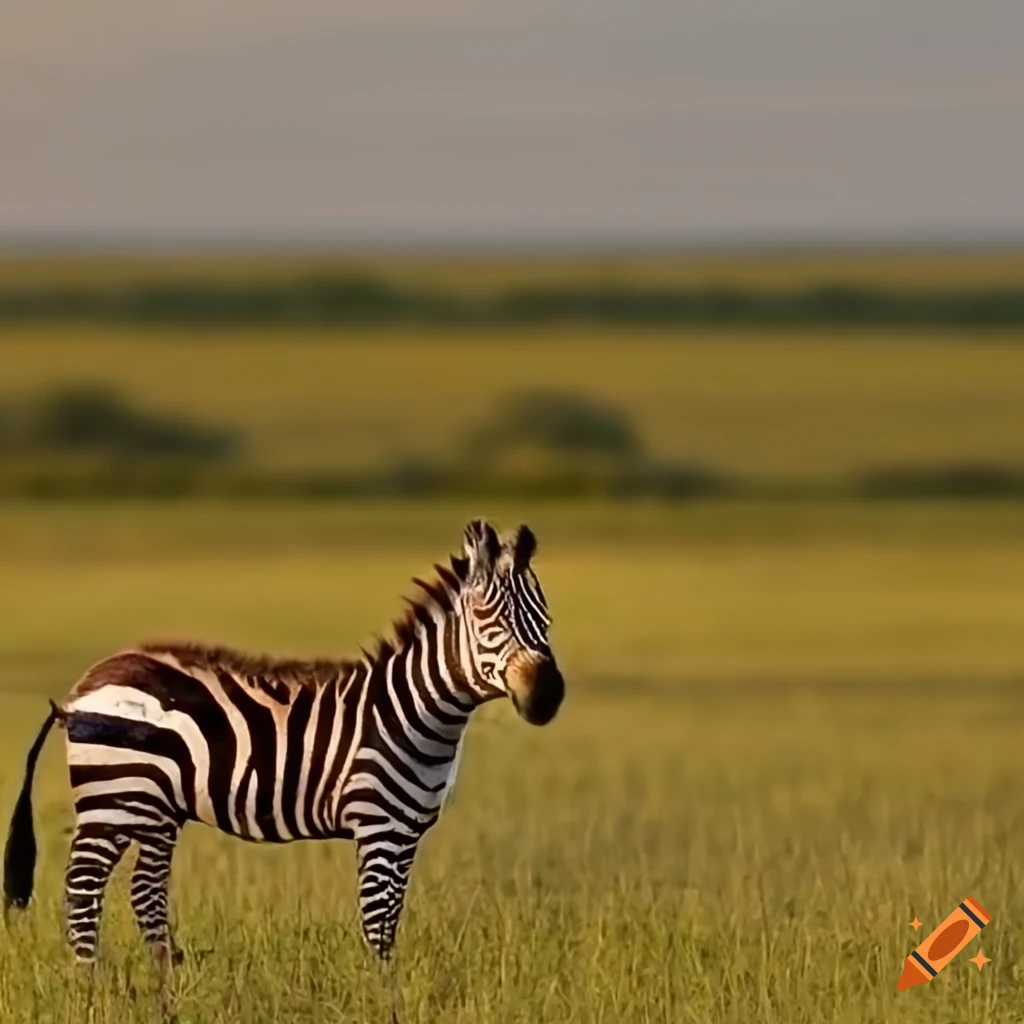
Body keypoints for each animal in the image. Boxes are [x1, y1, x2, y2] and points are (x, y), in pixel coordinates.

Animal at [3, 520, 564, 967]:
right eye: (490, 621)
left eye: (546, 620)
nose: (548, 696)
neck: (415, 711)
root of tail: (86, 683)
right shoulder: (378, 827)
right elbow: (378, 928)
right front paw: (384, 997)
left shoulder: (406, 833)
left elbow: (390, 923)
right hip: (115, 799)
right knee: (83, 889)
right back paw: (92, 984)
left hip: (152, 809)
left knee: (144, 891)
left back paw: (166, 979)